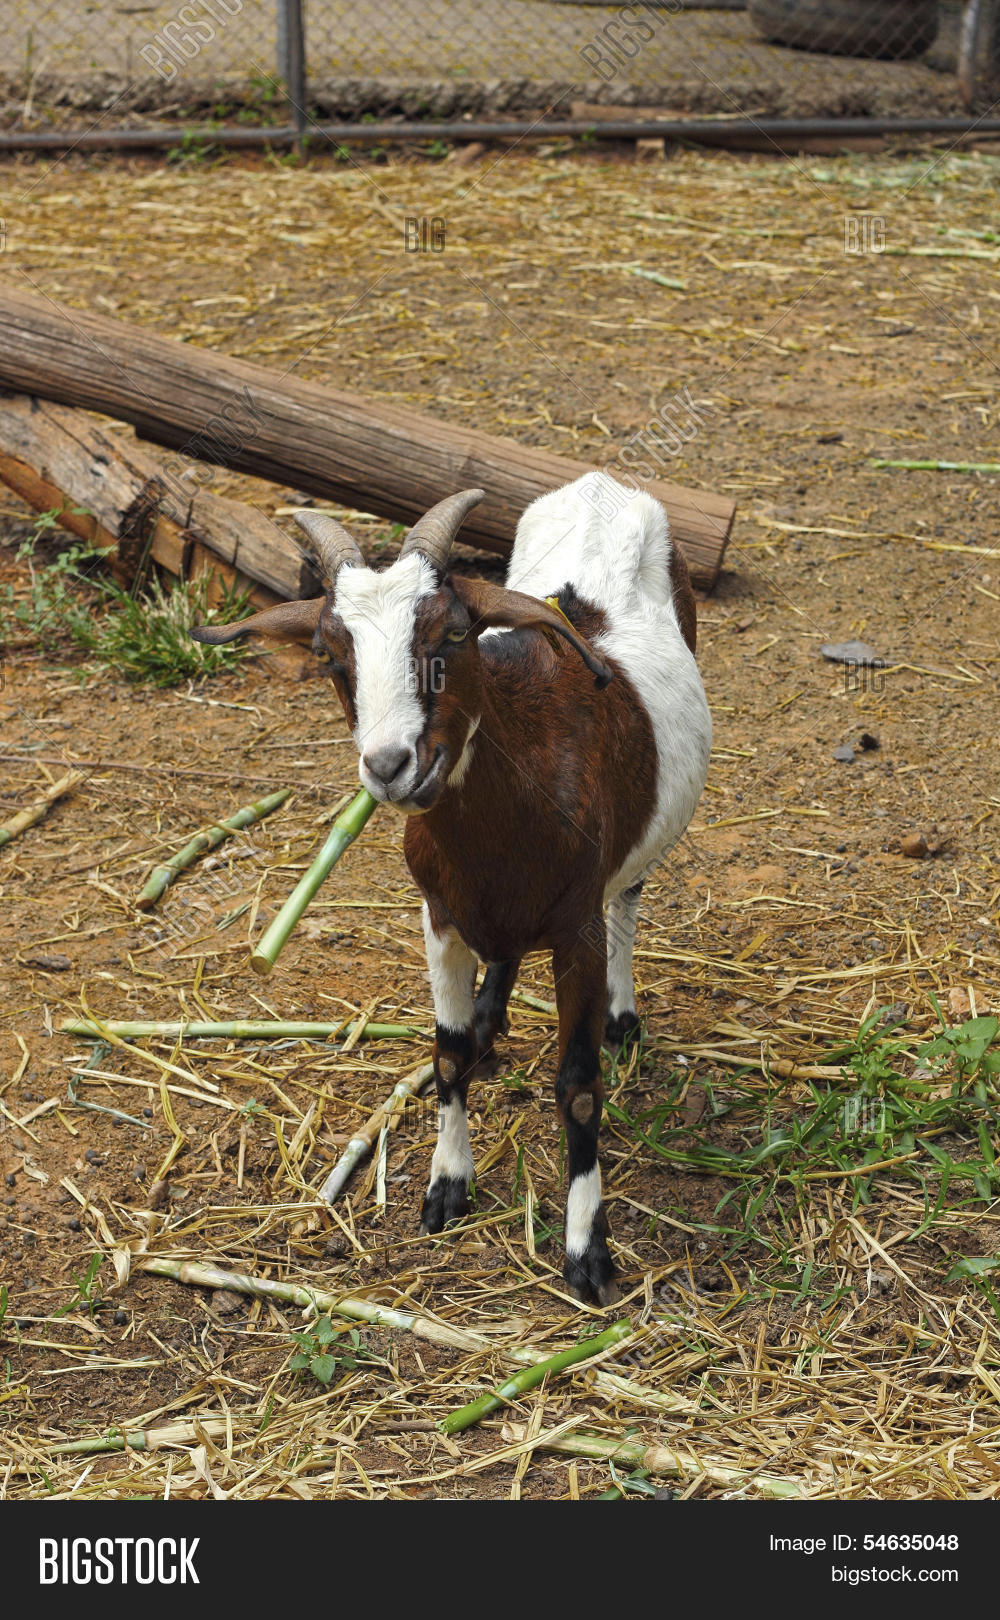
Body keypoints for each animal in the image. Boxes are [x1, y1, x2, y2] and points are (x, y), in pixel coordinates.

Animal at [193, 476, 711, 1304]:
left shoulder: (577, 927)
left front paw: (586, 1252)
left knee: (631, 892)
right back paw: (495, 1016)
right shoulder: (439, 915)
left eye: (454, 634)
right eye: (328, 655)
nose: (391, 765)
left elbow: (578, 1085)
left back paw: (624, 1015)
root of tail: (601, 485)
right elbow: (446, 1054)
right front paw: (446, 1186)